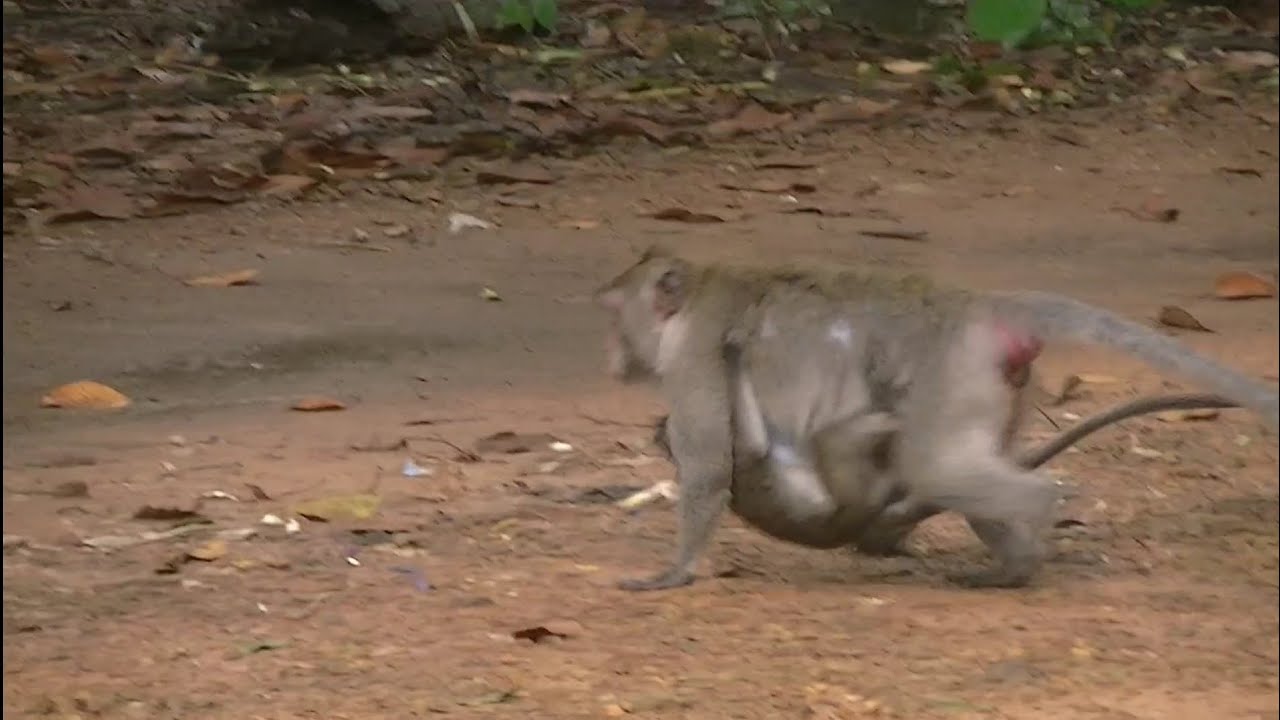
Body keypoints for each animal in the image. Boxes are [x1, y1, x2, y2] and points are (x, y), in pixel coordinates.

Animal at [594, 247, 1278, 591]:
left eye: (614, 315)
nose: (612, 357)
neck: (691, 303)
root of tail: (983, 307)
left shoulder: (694, 356)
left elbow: (710, 464)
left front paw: (673, 573)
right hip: (994, 385)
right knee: (957, 468)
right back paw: (1008, 560)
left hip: (953, 374)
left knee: (935, 467)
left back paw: (1031, 537)